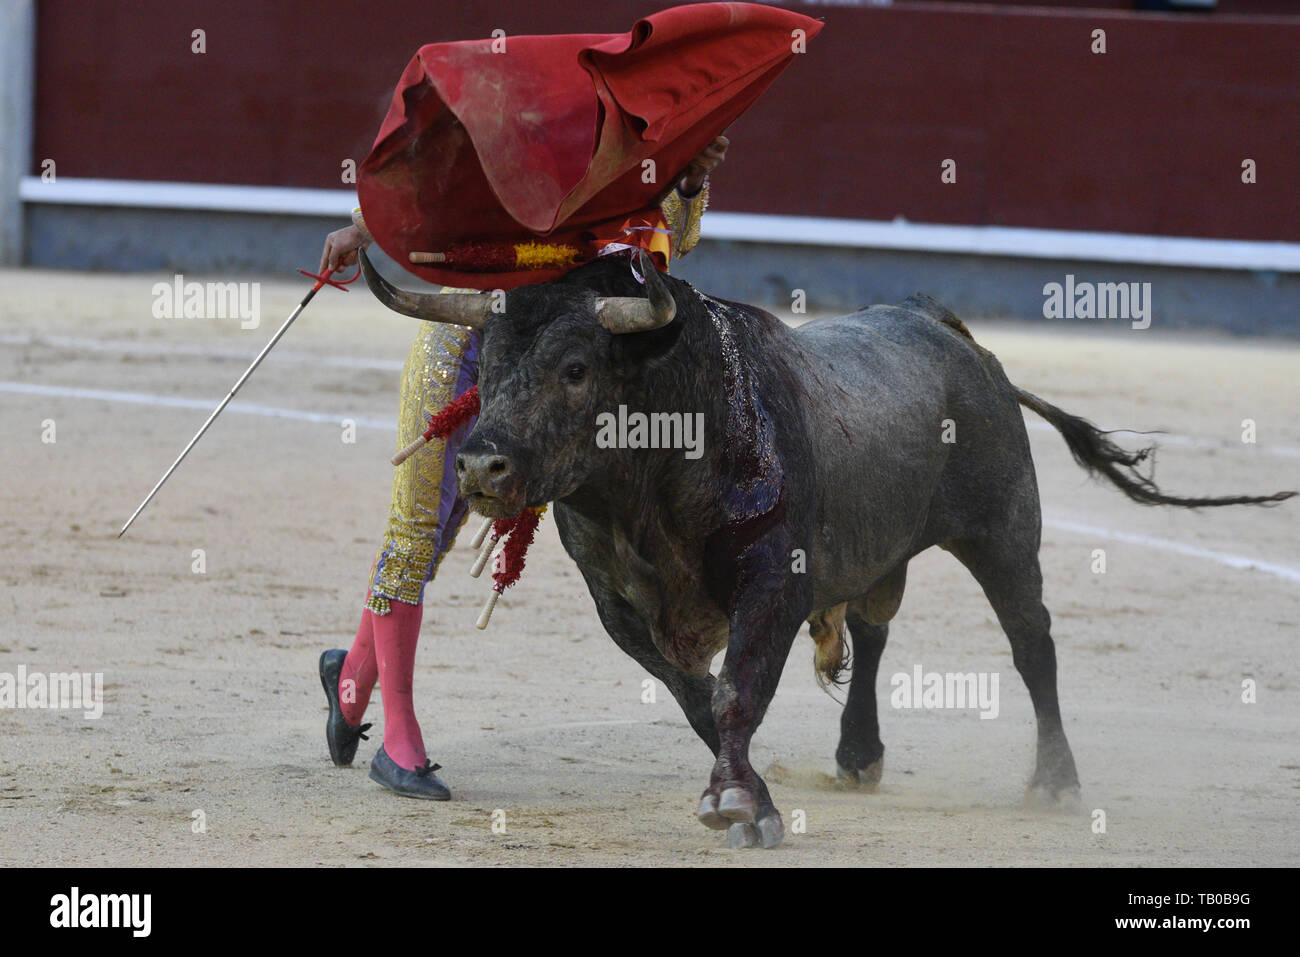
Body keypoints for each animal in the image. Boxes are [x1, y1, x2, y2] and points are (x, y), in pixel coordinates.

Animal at [360, 248, 1294, 849]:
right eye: (488, 362)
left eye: (578, 368)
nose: (480, 463)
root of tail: (950, 331)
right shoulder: (620, 607)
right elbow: (702, 700)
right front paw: (752, 796)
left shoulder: (775, 581)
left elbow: (738, 691)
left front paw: (737, 802)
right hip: (886, 548)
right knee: (877, 630)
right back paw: (858, 755)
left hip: (1003, 531)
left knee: (1033, 641)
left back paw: (1056, 781)